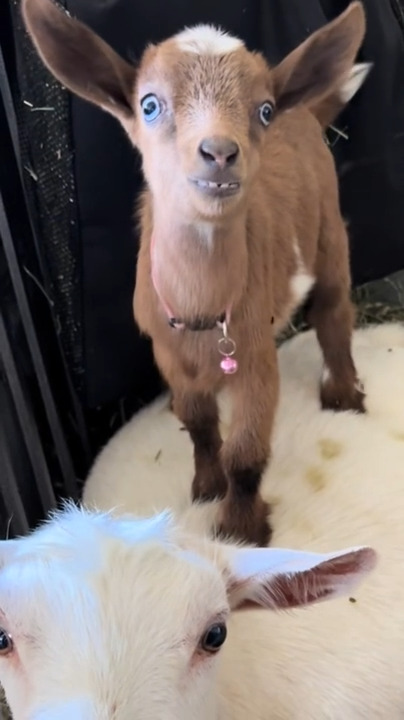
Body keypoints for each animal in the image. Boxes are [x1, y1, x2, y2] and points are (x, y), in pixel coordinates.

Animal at [23, 0, 371, 546]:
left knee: (333, 310)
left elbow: (246, 454)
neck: (203, 309)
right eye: (148, 105)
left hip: (329, 230)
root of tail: (303, 111)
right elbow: (201, 426)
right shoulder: (169, 353)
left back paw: (343, 397)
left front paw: (241, 529)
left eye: (262, 110)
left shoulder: (255, 355)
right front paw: (207, 487)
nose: (220, 152)